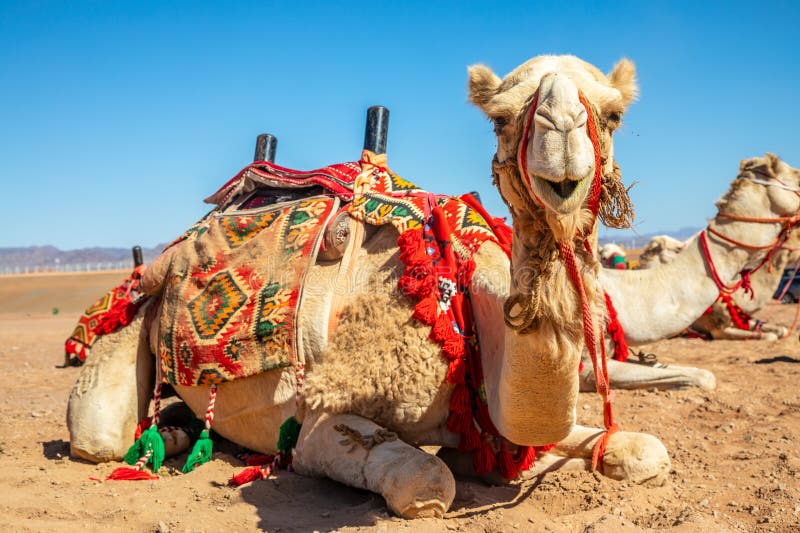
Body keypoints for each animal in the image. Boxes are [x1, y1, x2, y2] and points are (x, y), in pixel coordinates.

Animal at [66, 55, 672, 518]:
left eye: (614, 114)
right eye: (500, 118)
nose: (563, 136)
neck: (461, 309)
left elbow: (647, 450)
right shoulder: (315, 423)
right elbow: (427, 481)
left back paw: (175, 435)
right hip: (138, 313)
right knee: (98, 434)